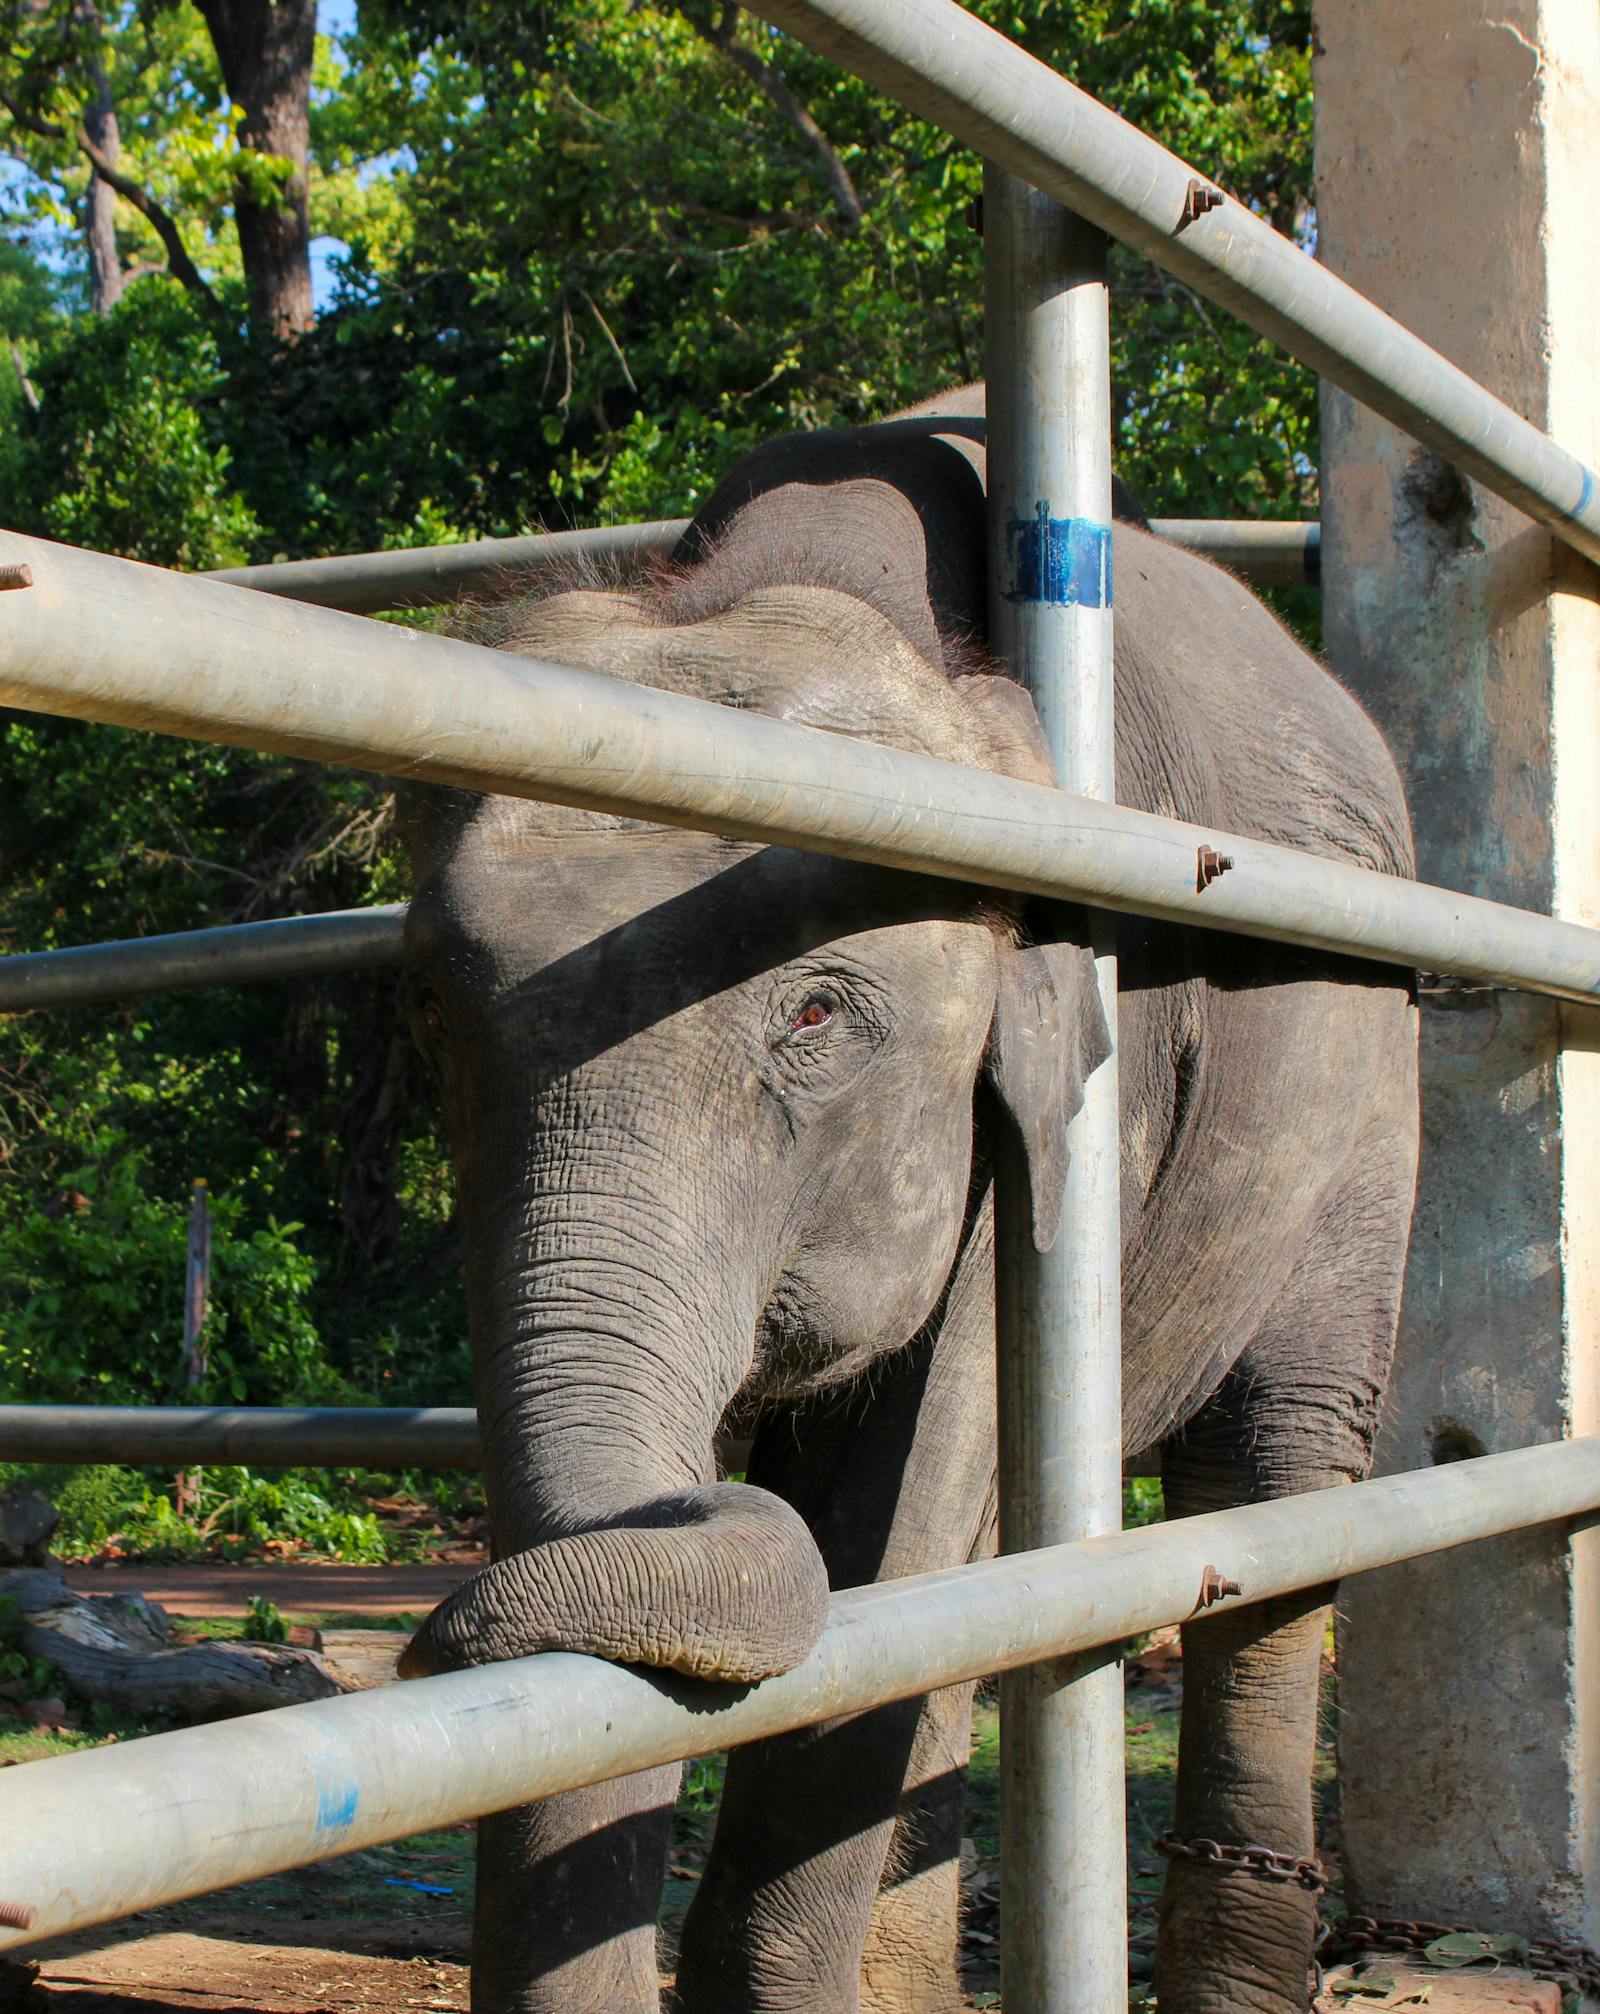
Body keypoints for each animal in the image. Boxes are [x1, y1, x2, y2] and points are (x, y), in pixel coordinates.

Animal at [396, 382, 1420, 2014]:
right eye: (429, 1007)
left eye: (819, 1015)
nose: (428, 1645)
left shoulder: (1068, 1100)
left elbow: (903, 1497)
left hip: (1363, 1096)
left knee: (1274, 1468)